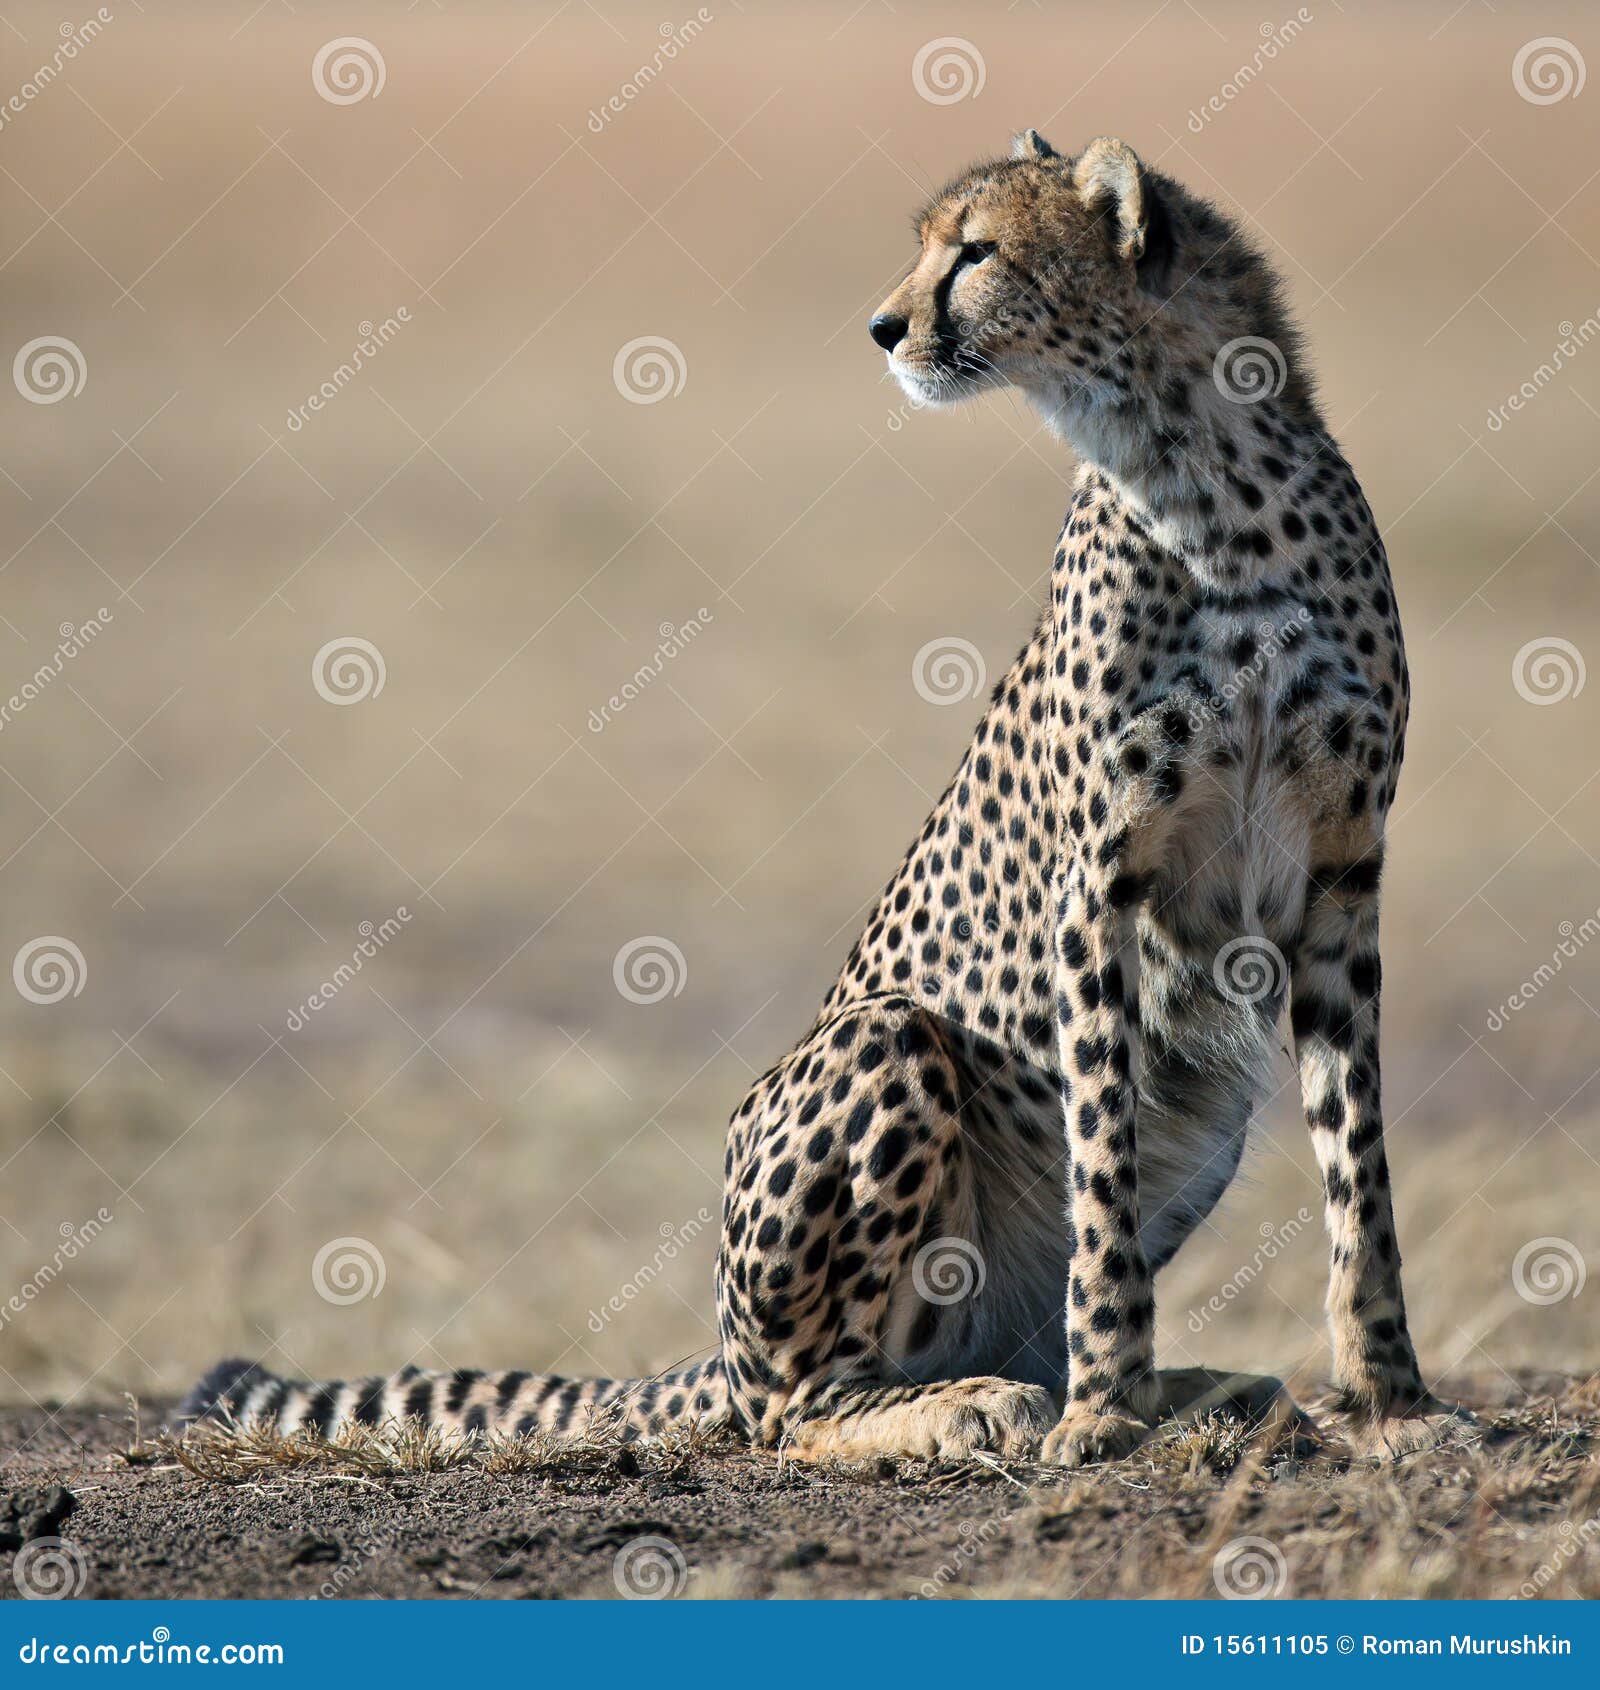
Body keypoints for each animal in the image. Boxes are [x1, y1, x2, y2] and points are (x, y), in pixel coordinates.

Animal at [183, 132, 1468, 1468]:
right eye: (930, 245)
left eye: (978, 251)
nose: (883, 326)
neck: (1202, 475)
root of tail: (724, 1350)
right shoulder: (1097, 885)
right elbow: (1102, 1173)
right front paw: (1103, 1409)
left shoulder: (1342, 872)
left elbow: (1357, 1165)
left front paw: (1389, 1400)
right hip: (882, 1045)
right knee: (796, 1407)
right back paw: (975, 1402)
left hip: (1202, 1100)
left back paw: (1210, 1388)